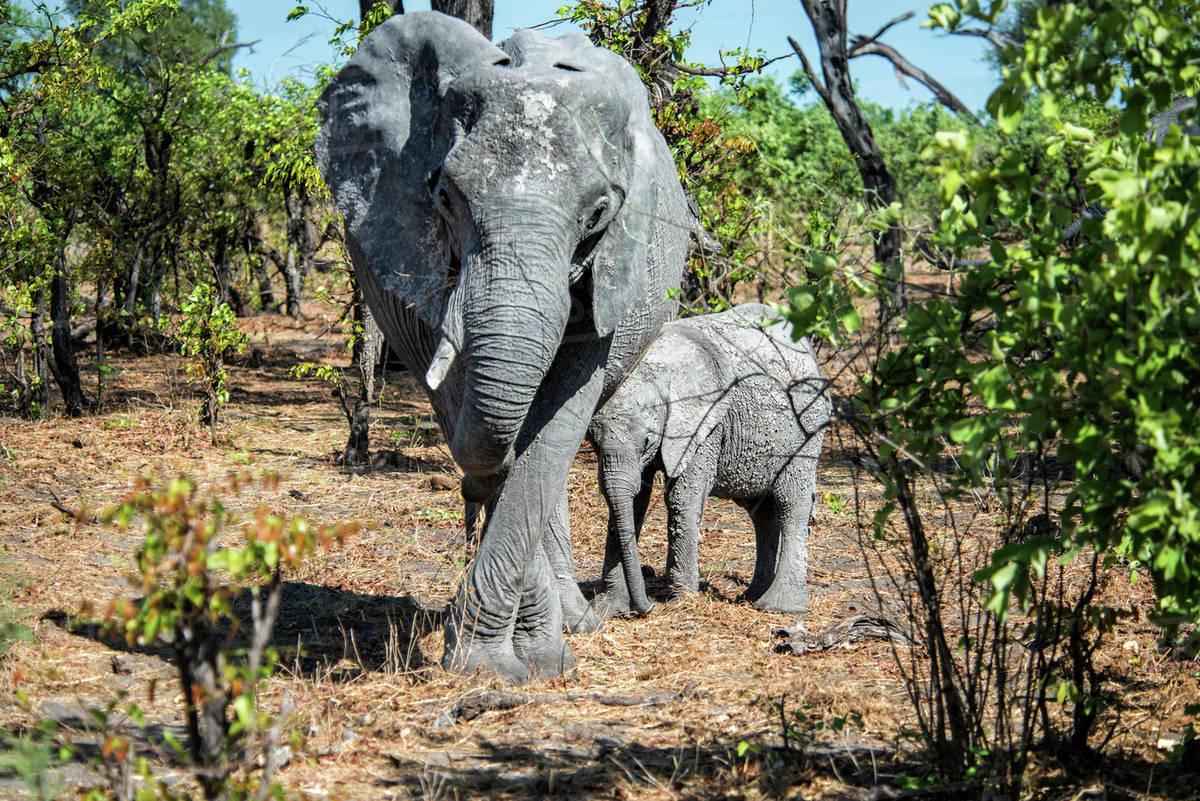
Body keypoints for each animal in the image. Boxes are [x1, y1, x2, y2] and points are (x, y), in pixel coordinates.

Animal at [315, 12, 691, 682]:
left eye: (599, 212)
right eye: (444, 197)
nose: (465, 495)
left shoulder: (611, 273)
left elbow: (555, 426)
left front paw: (524, 659)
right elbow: (478, 413)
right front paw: (498, 663)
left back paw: (576, 619)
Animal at [586, 303, 830, 617]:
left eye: (647, 441)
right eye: (593, 442)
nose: (648, 607)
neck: (654, 367)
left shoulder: (707, 423)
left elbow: (682, 497)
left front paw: (682, 602)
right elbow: (634, 500)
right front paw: (609, 607)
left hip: (806, 427)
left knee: (791, 503)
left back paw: (780, 607)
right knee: (762, 514)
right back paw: (751, 596)